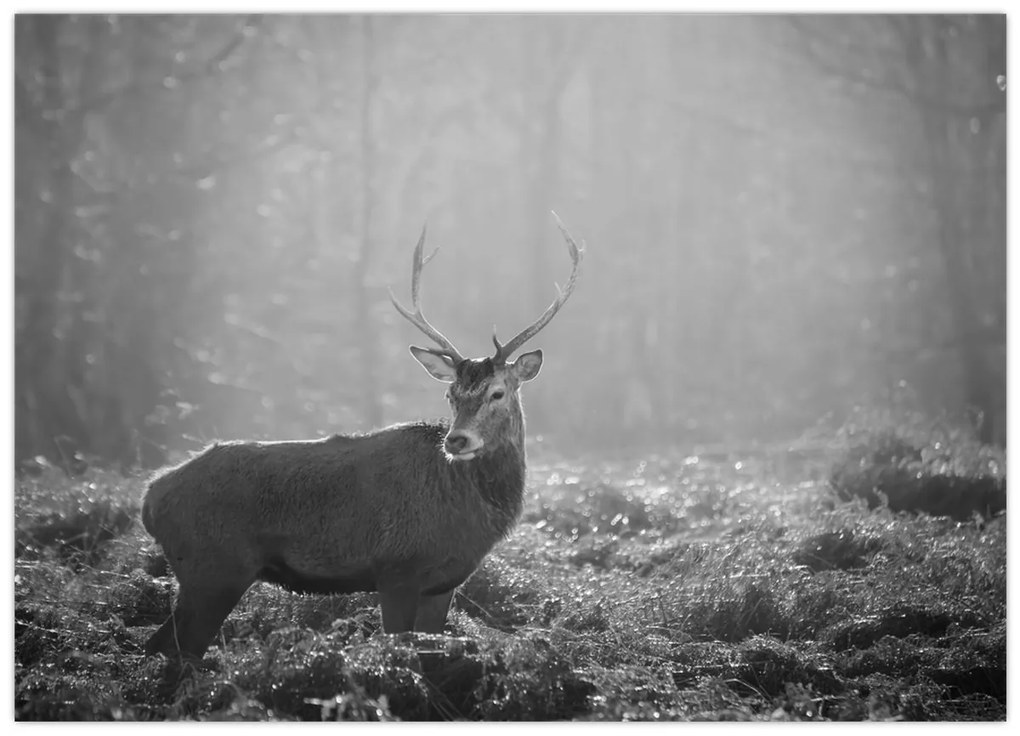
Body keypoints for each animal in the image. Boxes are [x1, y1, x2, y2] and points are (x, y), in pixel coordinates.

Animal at [138, 215, 583, 656]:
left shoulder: (444, 584)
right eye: (450, 395)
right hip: (214, 567)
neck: (468, 517)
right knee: (174, 647)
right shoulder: (396, 568)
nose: (457, 441)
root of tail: (150, 497)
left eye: (497, 392)